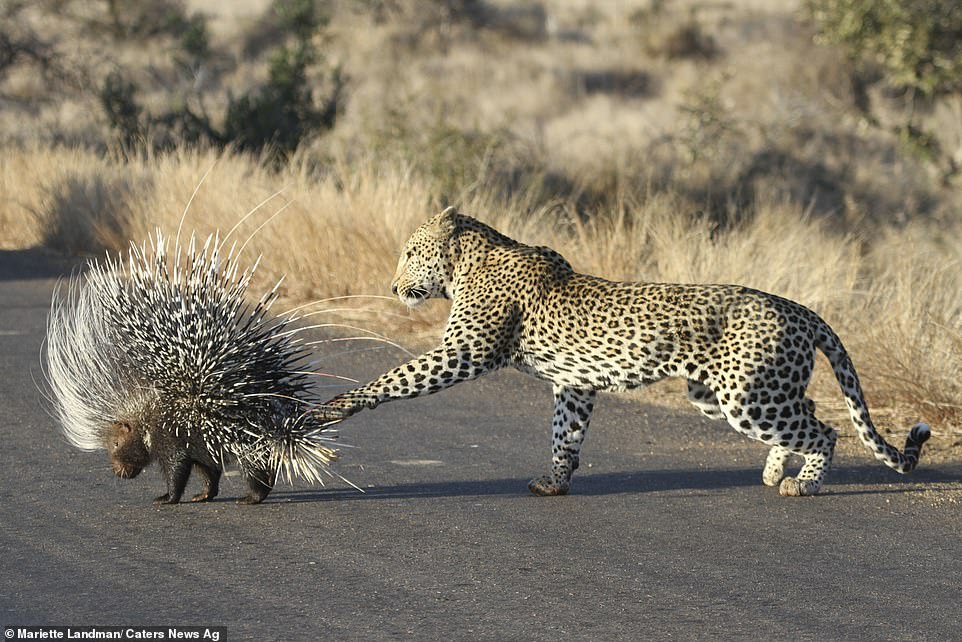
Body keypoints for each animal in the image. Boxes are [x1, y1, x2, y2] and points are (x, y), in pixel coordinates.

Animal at [316, 208, 928, 498]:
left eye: (410, 253)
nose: (394, 287)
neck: (470, 262)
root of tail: (797, 307)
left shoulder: (463, 352)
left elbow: (395, 377)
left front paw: (340, 406)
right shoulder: (574, 383)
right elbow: (565, 432)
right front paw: (556, 481)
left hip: (748, 395)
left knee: (826, 428)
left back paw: (803, 482)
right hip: (719, 394)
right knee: (807, 417)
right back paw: (776, 468)